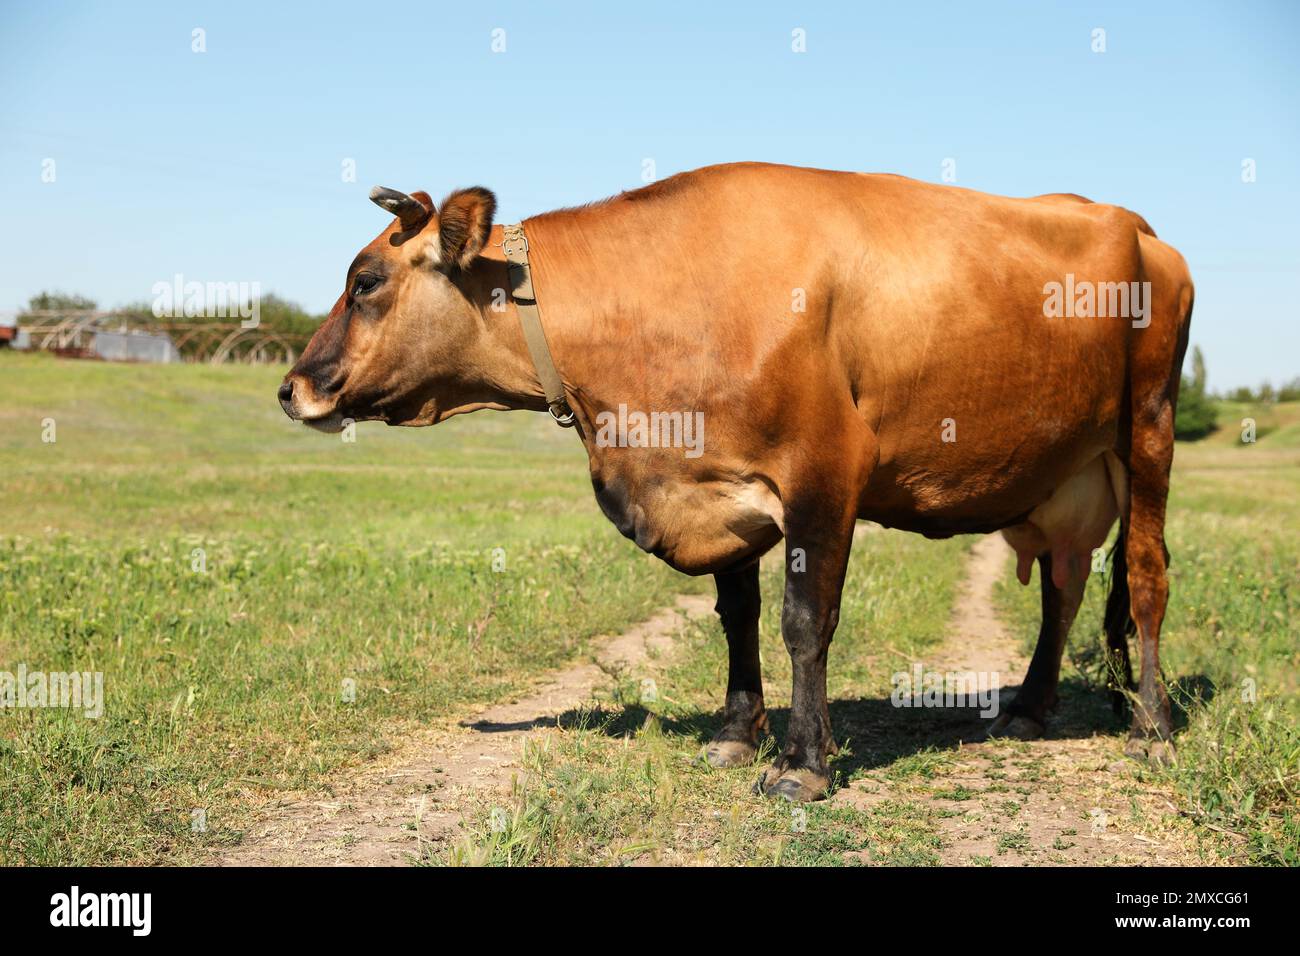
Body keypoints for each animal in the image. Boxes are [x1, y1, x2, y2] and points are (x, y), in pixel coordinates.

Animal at [279, 162, 1193, 802]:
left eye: (365, 282)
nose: (292, 389)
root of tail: (1140, 227)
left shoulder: (826, 472)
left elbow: (803, 622)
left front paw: (802, 763)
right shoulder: (717, 490)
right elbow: (737, 616)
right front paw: (735, 732)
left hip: (1147, 429)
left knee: (1145, 576)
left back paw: (1150, 725)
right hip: (1064, 470)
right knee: (1066, 586)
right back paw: (1031, 706)